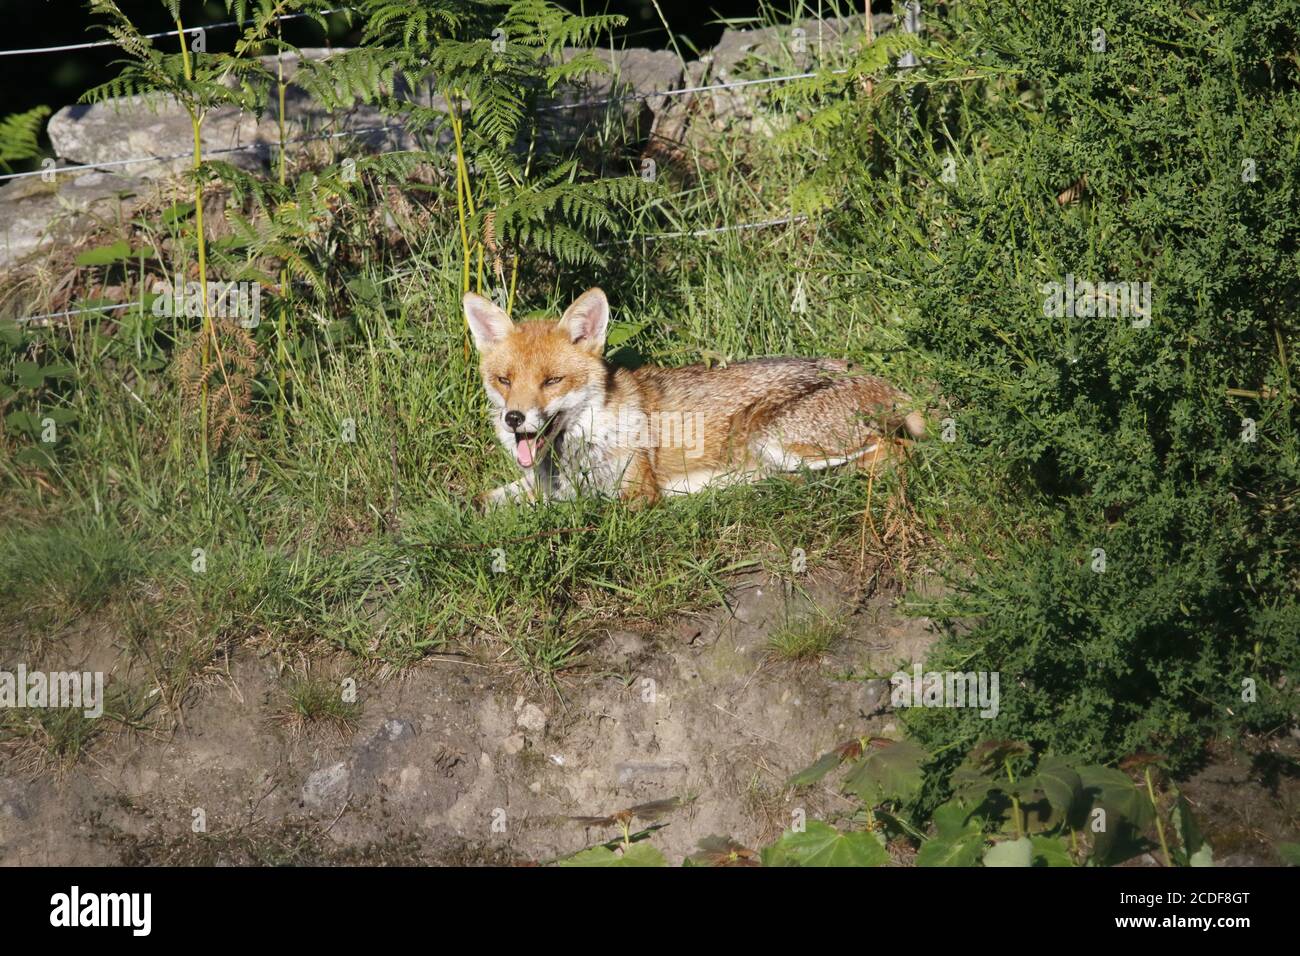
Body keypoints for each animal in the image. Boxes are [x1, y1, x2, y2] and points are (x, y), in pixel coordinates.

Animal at [464, 287, 926, 508]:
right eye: (505, 380)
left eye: (552, 381)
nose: (514, 418)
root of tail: (870, 376)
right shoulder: (537, 486)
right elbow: (478, 503)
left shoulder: (634, 495)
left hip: (775, 440)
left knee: (896, 453)